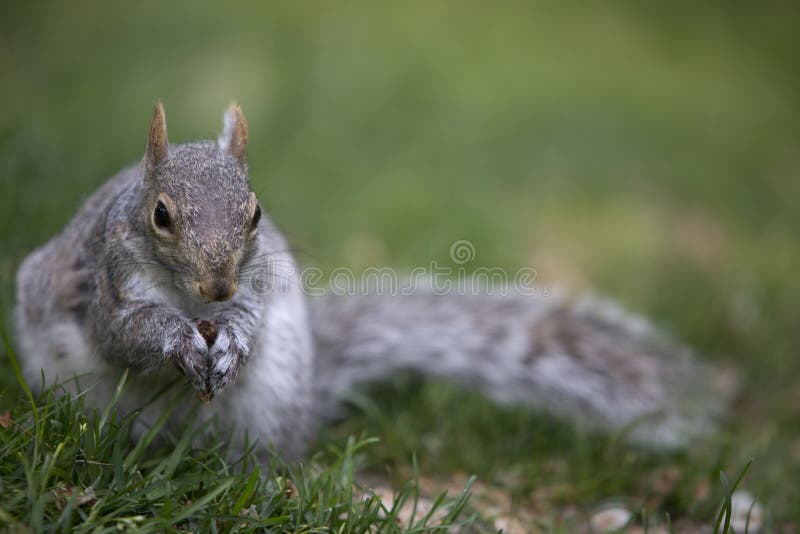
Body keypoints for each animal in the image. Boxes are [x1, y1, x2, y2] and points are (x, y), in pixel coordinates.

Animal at [14, 102, 735, 461]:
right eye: (161, 215)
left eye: (255, 213)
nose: (217, 289)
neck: (193, 301)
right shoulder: (106, 281)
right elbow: (123, 333)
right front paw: (175, 340)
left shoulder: (259, 283)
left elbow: (252, 318)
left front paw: (234, 341)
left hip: (270, 405)